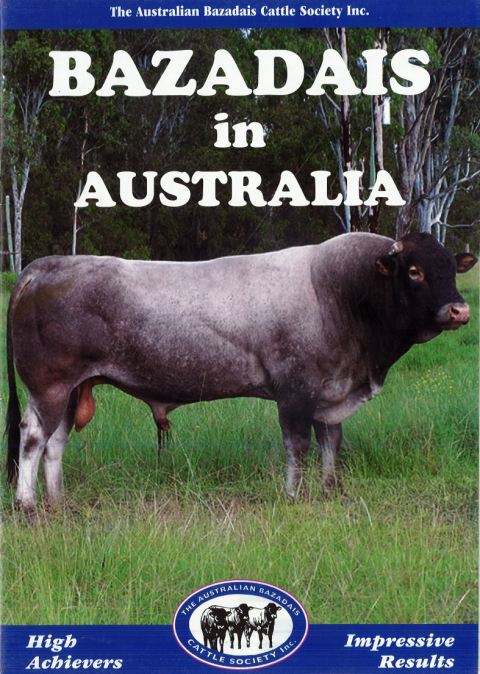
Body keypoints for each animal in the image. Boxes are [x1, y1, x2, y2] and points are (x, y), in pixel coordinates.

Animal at [5, 232, 477, 514]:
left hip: (71, 390)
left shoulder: (330, 394)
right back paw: (27, 507)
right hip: (49, 386)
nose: (459, 309)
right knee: (33, 438)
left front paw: (329, 491)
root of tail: (45, 264)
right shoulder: (295, 392)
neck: (339, 294)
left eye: (450, 268)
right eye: (414, 271)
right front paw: (293, 496)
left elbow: (332, 443)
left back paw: (57, 502)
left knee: (55, 443)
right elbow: (298, 447)